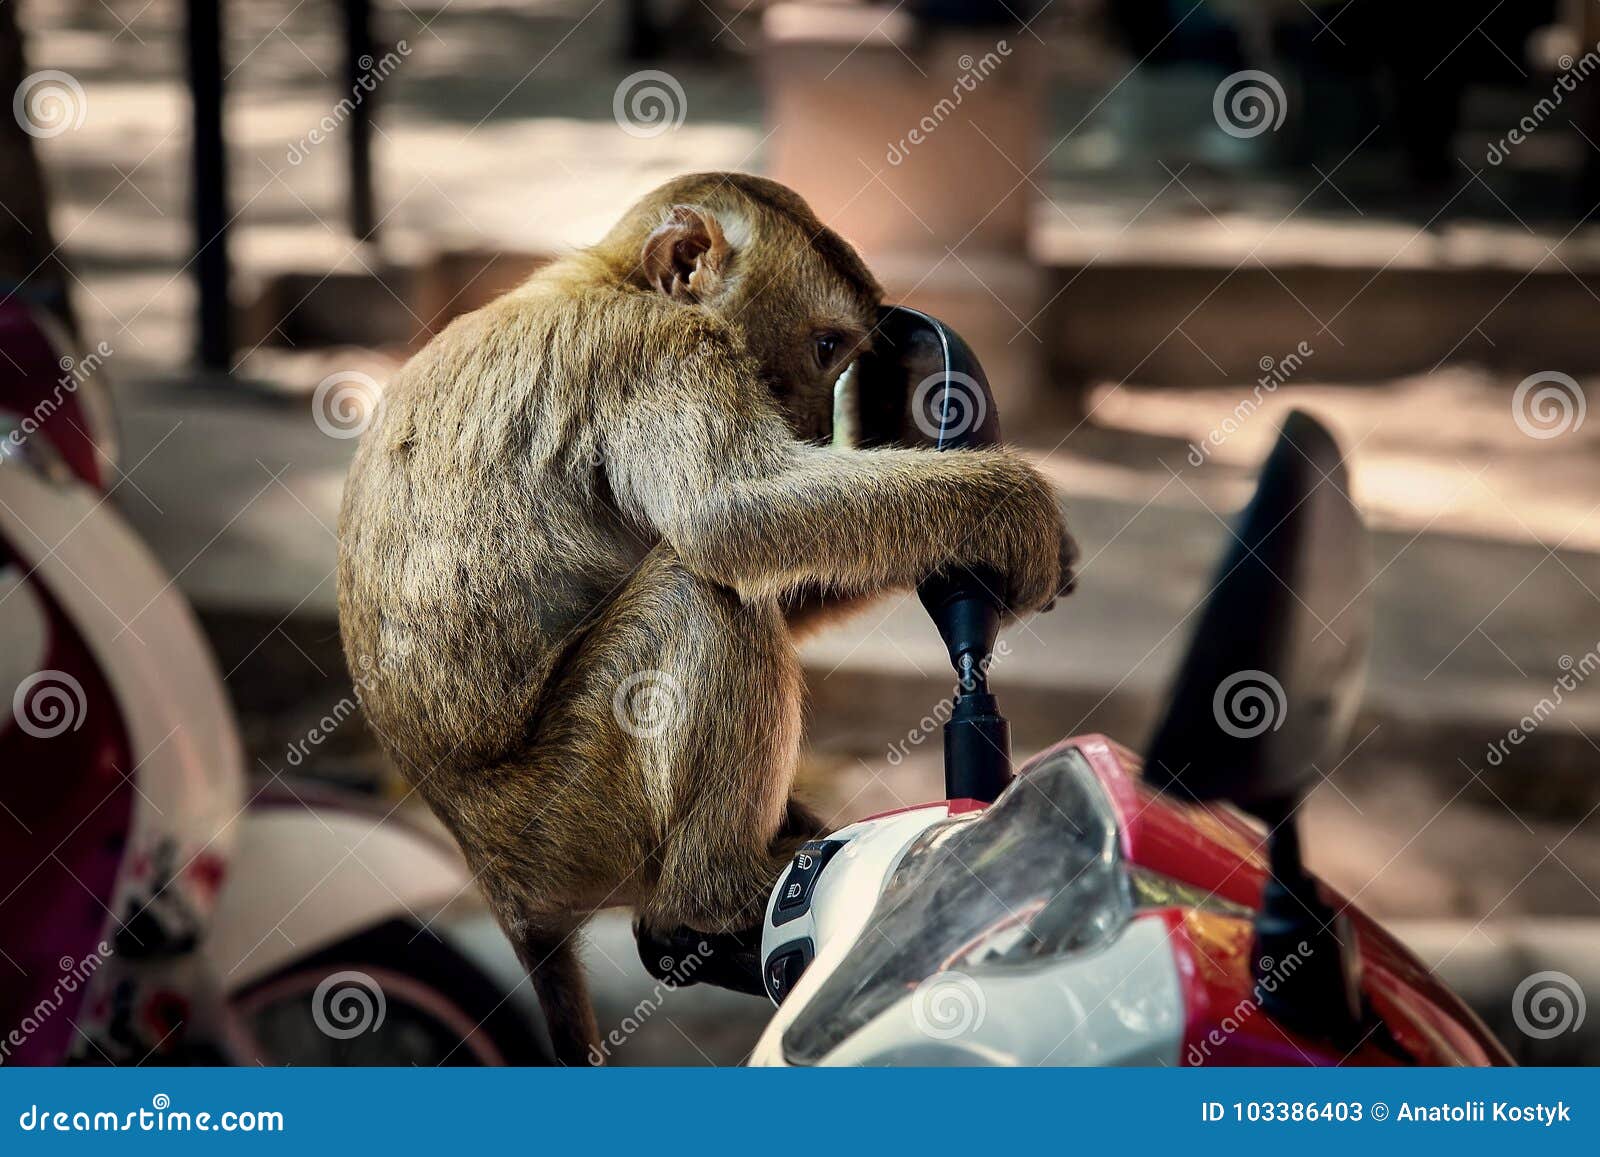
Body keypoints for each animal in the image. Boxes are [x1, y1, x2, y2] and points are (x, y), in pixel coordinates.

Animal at [336, 172, 1077, 1065]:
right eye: (826, 346)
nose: (810, 418)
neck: (615, 279)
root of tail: (501, 886)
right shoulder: (655, 349)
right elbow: (731, 518)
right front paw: (1013, 507)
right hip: (565, 822)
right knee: (698, 595)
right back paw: (712, 896)